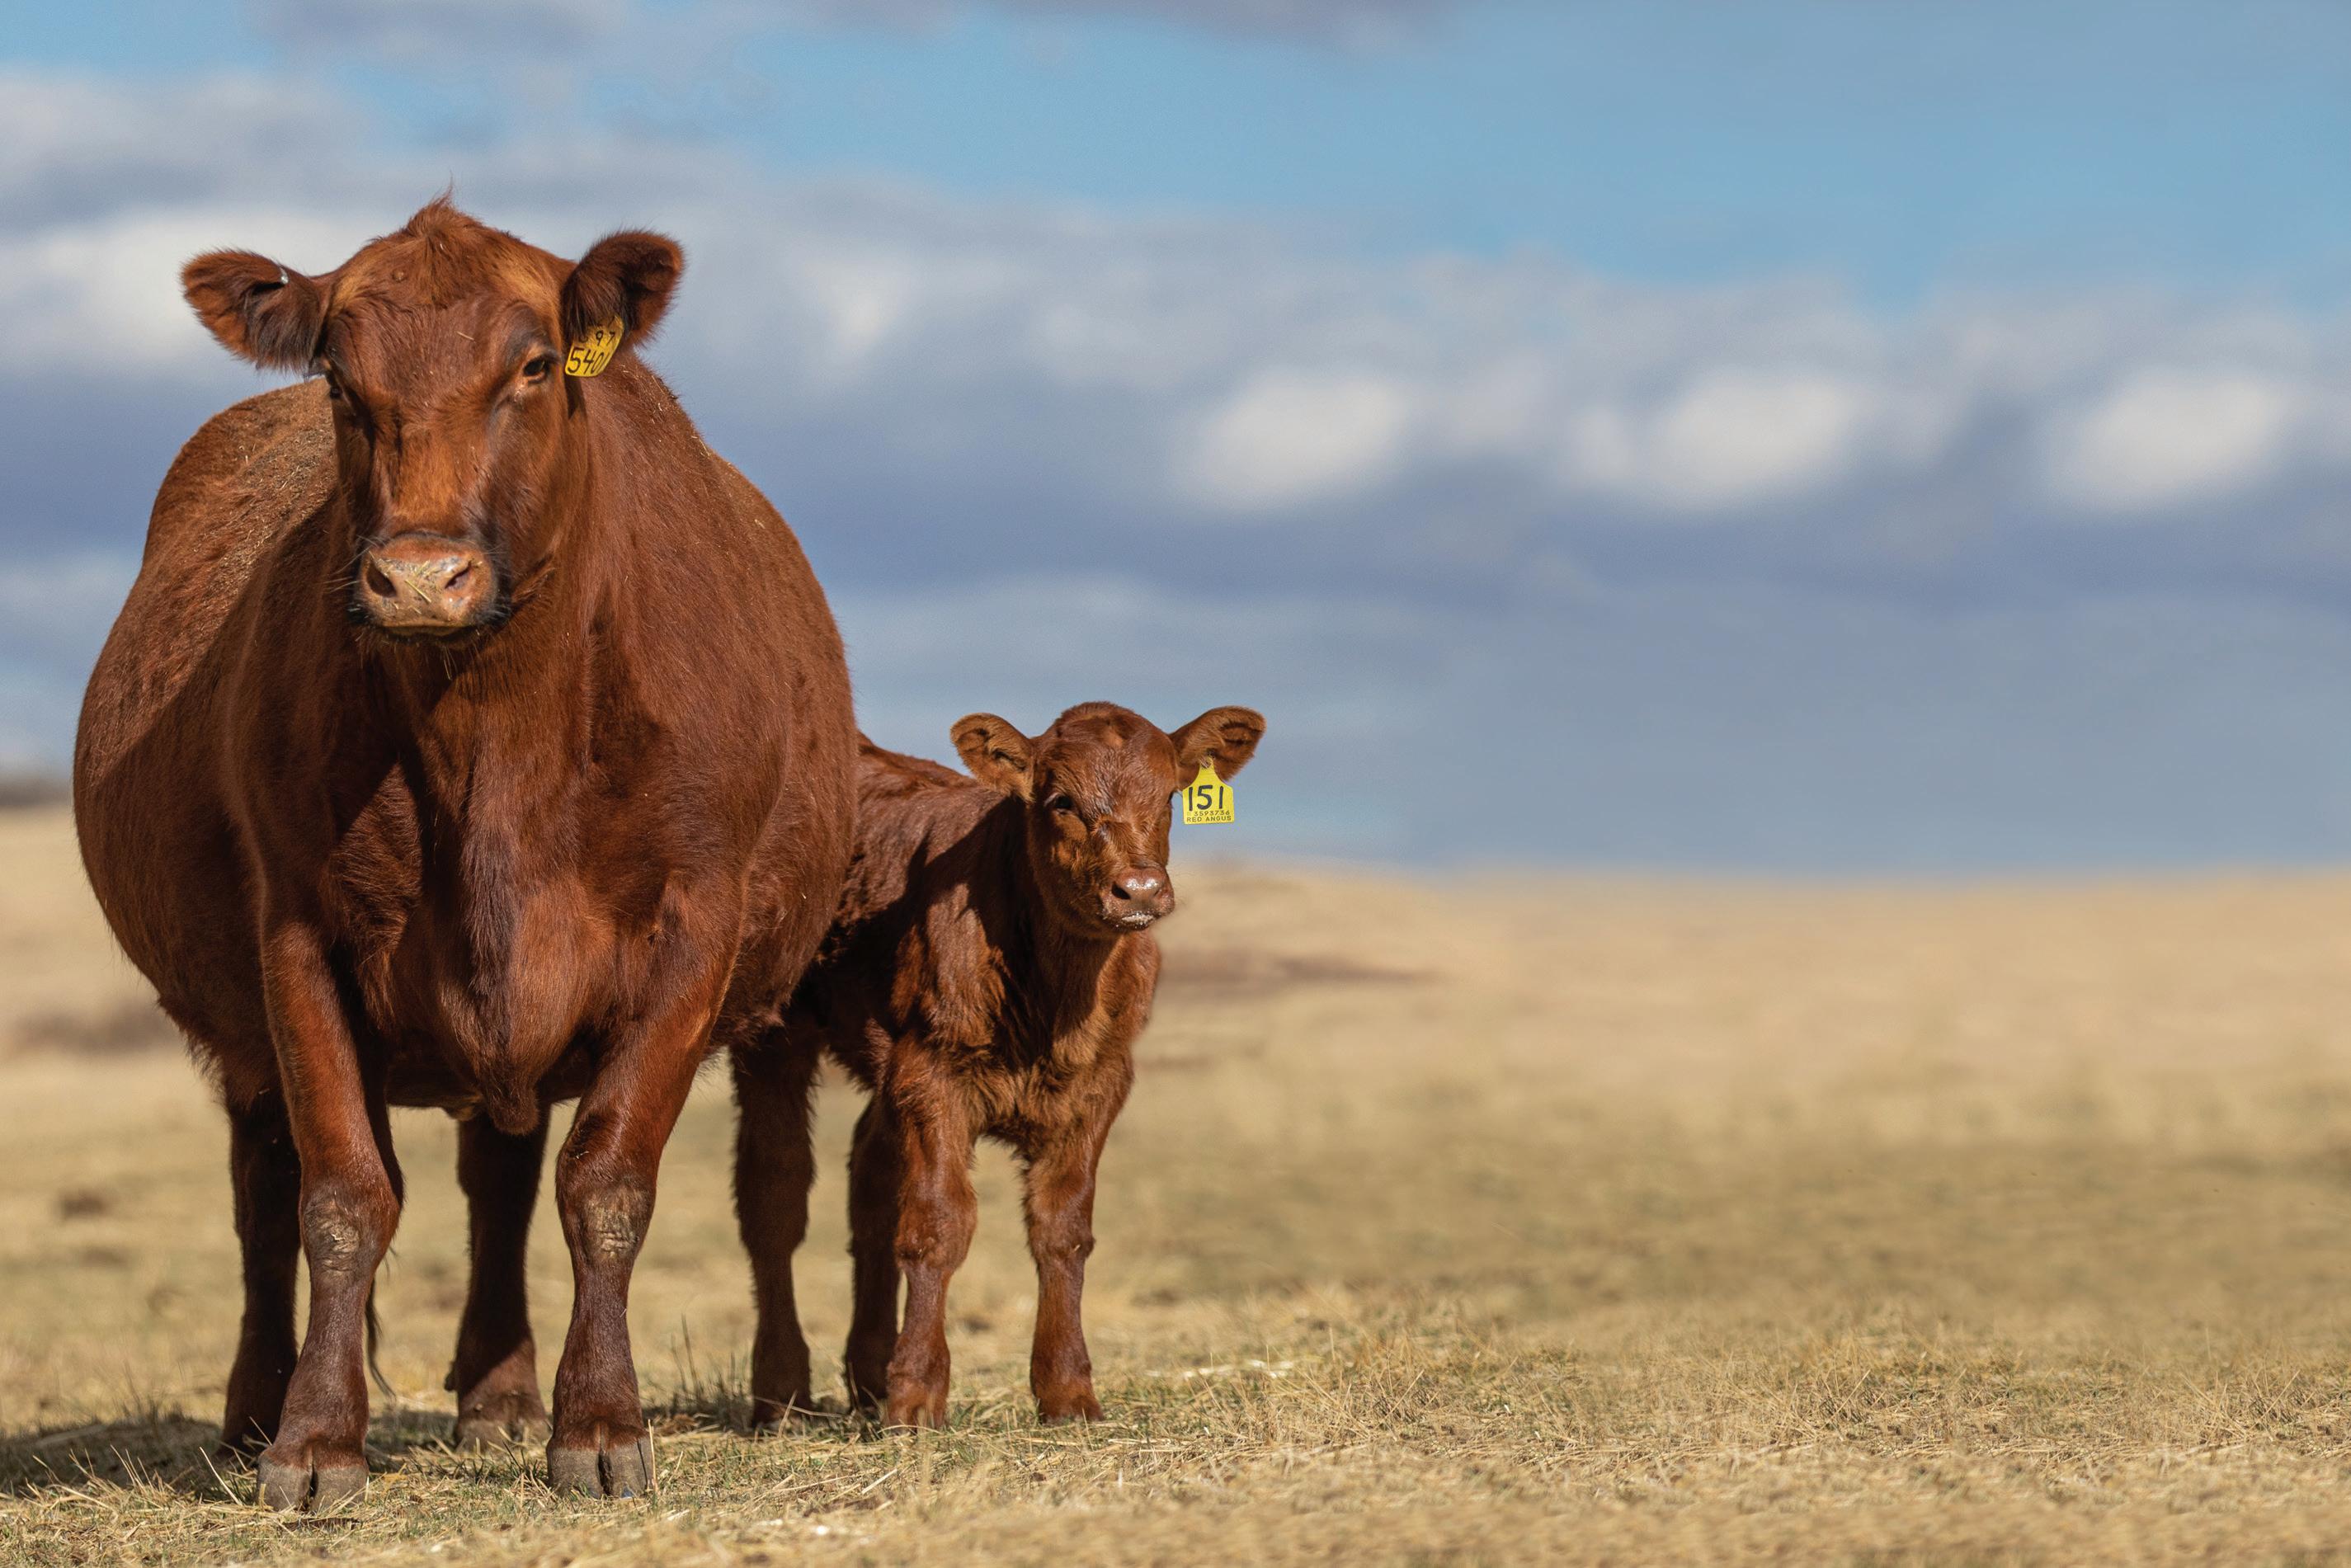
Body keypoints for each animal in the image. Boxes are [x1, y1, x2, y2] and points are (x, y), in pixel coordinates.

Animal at [72, 199, 856, 1508]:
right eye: (339, 379)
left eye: (533, 366)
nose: (420, 578)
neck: (493, 736)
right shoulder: (296, 936)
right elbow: (340, 1195)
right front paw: (313, 1441)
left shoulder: (693, 933)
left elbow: (604, 1181)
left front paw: (597, 1425)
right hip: (240, 1027)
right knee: (264, 1190)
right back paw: (252, 1410)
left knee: (502, 1170)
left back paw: (498, 1396)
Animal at [731, 702, 1264, 1430]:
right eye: (1061, 801)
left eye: (1169, 798)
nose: (1139, 889)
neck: (1056, 1000)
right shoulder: (933, 1074)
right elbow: (938, 1224)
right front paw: (917, 1396)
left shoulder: (1100, 1085)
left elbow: (1063, 1231)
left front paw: (1068, 1392)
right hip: (776, 1032)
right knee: (775, 1196)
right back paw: (782, 1393)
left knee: (870, 1184)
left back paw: (868, 1375)